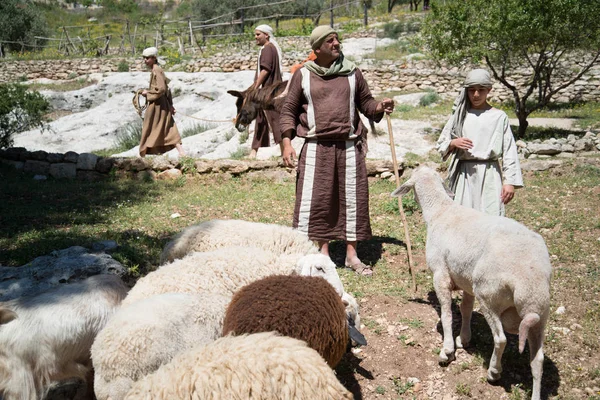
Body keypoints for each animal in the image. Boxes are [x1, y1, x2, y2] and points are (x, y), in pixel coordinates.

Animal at [392, 166, 552, 400]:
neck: (440, 211)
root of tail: (529, 282)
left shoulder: (440, 274)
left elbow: (447, 314)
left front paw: (447, 350)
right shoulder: (465, 279)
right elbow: (465, 308)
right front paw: (464, 339)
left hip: (489, 294)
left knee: (501, 339)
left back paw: (493, 372)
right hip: (541, 312)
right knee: (538, 359)